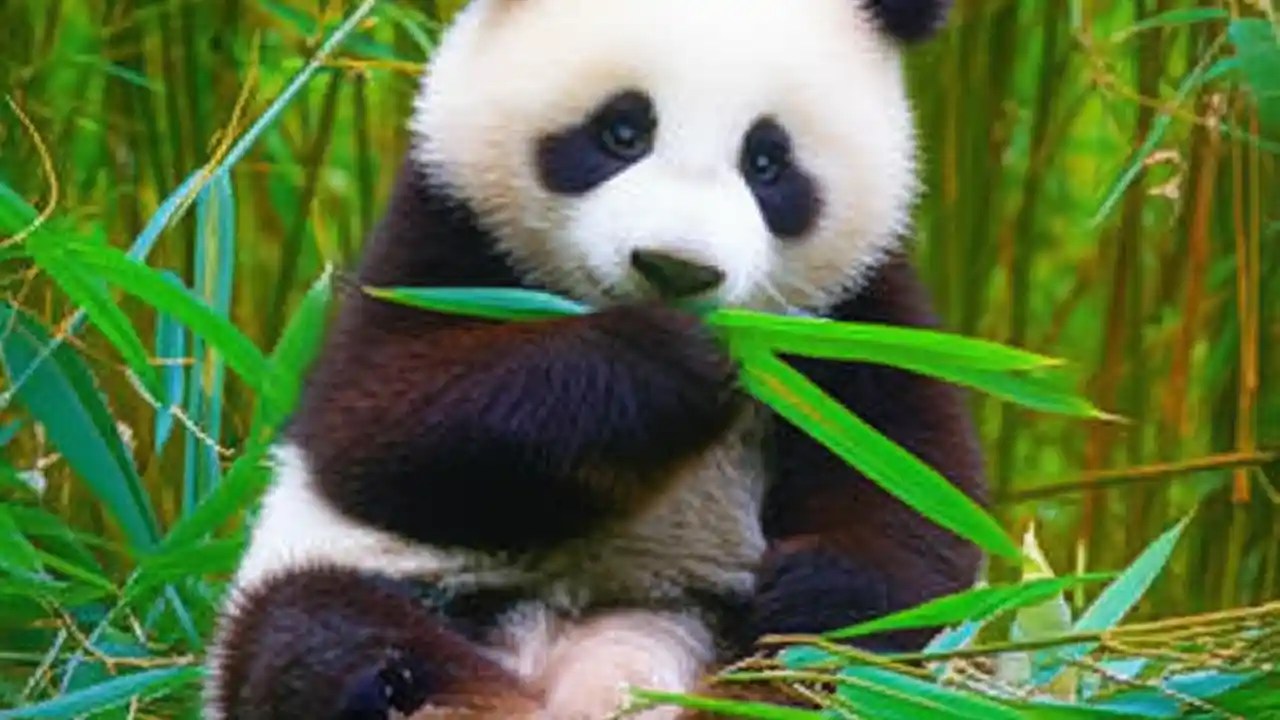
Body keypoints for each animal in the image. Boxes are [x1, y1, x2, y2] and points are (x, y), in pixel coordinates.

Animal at [204, 0, 986, 718]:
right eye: (622, 131)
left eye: (767, 161)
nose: (676, 267)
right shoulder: (437, 244)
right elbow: (381, 427)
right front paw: (667, 361)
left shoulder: (858, 317)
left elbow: (916, 505)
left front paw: (811, 600)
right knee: (305, 628)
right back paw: (388, 686)